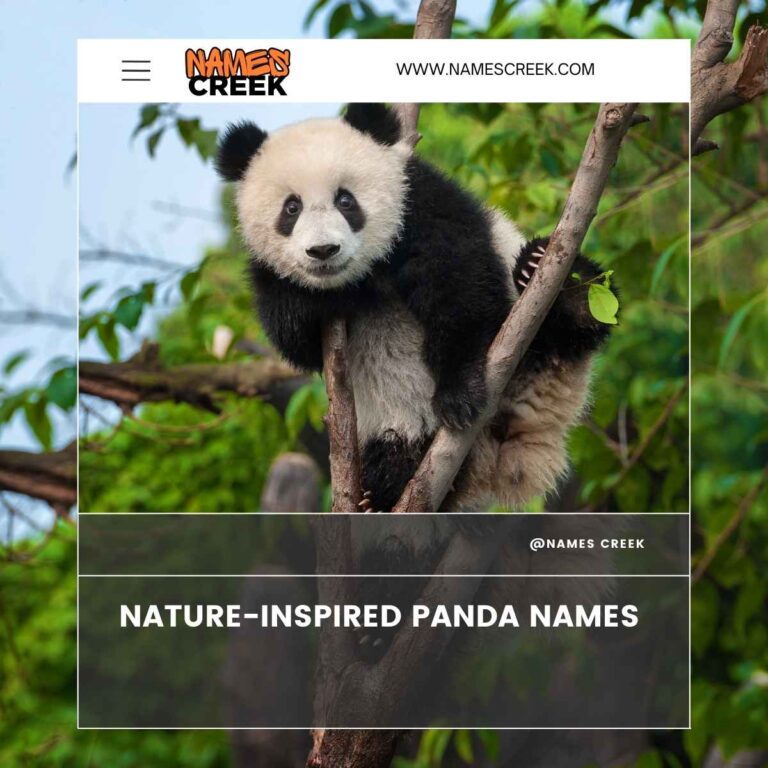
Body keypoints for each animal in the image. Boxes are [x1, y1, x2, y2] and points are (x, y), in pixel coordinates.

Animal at [216, 103, 613, 513]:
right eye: (291, 208)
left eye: (346, 200)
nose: (323, 251)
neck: (363, 275)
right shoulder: (270, 275)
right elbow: (296, 340)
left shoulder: (419, 204)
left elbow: (459, 288)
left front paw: (458, 395)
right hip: (398, 426)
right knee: (399, 447)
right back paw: (383, 490)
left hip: (535, 336)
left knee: (567, 323)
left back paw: (554, 280)